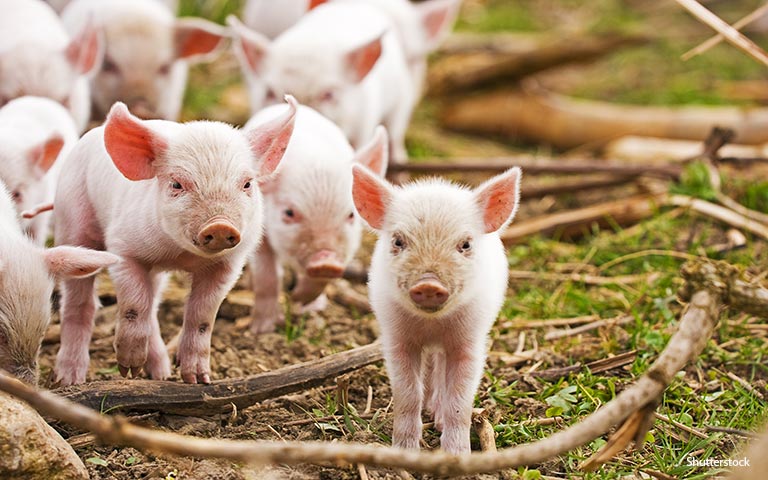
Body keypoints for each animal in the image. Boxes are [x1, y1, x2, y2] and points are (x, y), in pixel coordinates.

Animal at [52, 97, 297, 386]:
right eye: (177, 184)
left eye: (247, 184)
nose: (220, 224)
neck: (180, 256)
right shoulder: (123, 248)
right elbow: (134, 306)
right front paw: (127, 370)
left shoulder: (228, 266)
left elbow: (202, 317)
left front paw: (198, 380)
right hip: (71, 220)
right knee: (80, 303)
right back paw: (69, 380)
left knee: (153, 307)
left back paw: (161, 373)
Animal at [244, 104, 387, 333]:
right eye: (289, 213)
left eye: (350, 215)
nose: (326, 260)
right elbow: (267, 276)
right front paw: (262, 330)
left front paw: (300, 302)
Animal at [352, 165, 521, 454]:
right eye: (398, 241)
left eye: (465, 244)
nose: (429, 283)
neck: (432, 324)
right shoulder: (398, 338)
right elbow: (407, 395)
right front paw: (405, 451)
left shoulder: (469, 341)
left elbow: (460, 402)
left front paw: (457, 454)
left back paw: (438, 417)